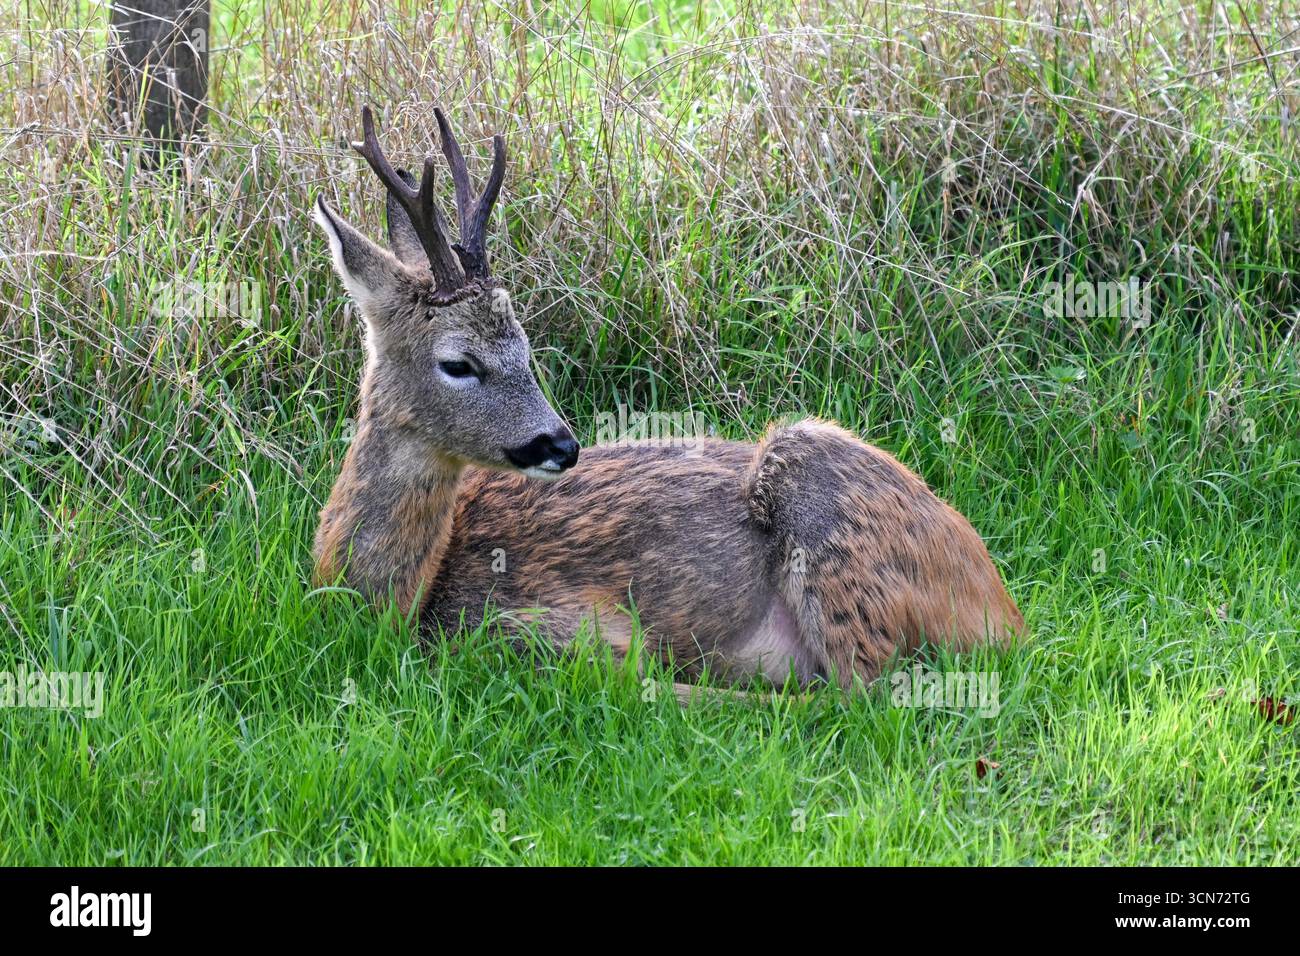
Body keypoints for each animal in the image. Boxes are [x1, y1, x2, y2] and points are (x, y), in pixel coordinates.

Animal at [312, 105, 1023, 698]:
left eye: (527, 345)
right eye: (459, 363)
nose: (562, 444)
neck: (413, 593)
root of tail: (1000, 608)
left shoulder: (560, 628)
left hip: (822, 507)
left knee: (860, 694)